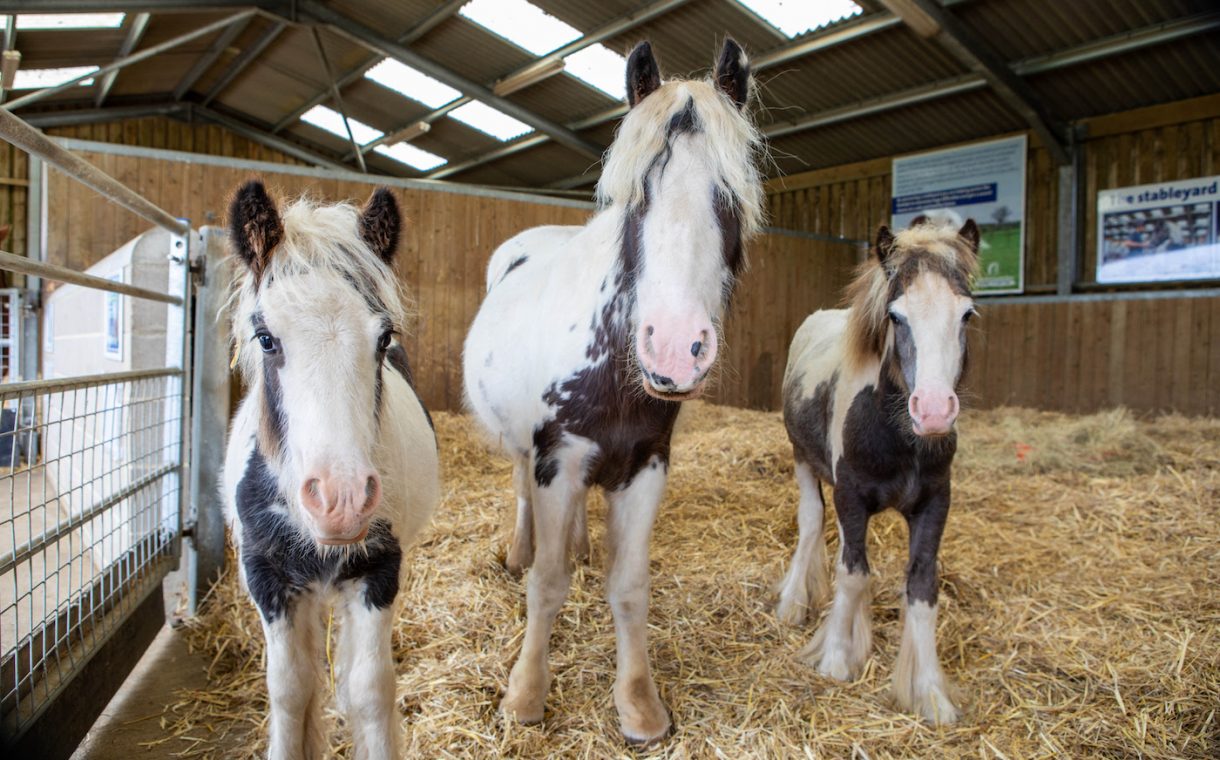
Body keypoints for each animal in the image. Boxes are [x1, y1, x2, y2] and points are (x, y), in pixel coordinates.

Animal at [221, 181, 440, 760]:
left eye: (383, 339)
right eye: (266, 338)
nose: (340, 501)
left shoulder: (379, 571)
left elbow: (368, 690)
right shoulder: (266, 578)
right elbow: (290, 690)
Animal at [462, 39, 763, 744]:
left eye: (729, 194)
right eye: (637, 197)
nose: (675, 347)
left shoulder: (646, 464)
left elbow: (628, 585)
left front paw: (640, 706)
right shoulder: (557, 457)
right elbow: (547, 584)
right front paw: (525, 695)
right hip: (527, 452)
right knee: (524, 497)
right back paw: (520, 550)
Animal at [776, 217, 980, 724]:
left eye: (967, 314)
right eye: (896, 316)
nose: (933, 411)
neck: (898, 439)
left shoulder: (935, 504)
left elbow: (922, 589)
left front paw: (930, 693)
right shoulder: (850, 496)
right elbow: (851, 574)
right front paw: (834, 659)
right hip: (802, 460)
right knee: (811, 524)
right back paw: (792, 603)